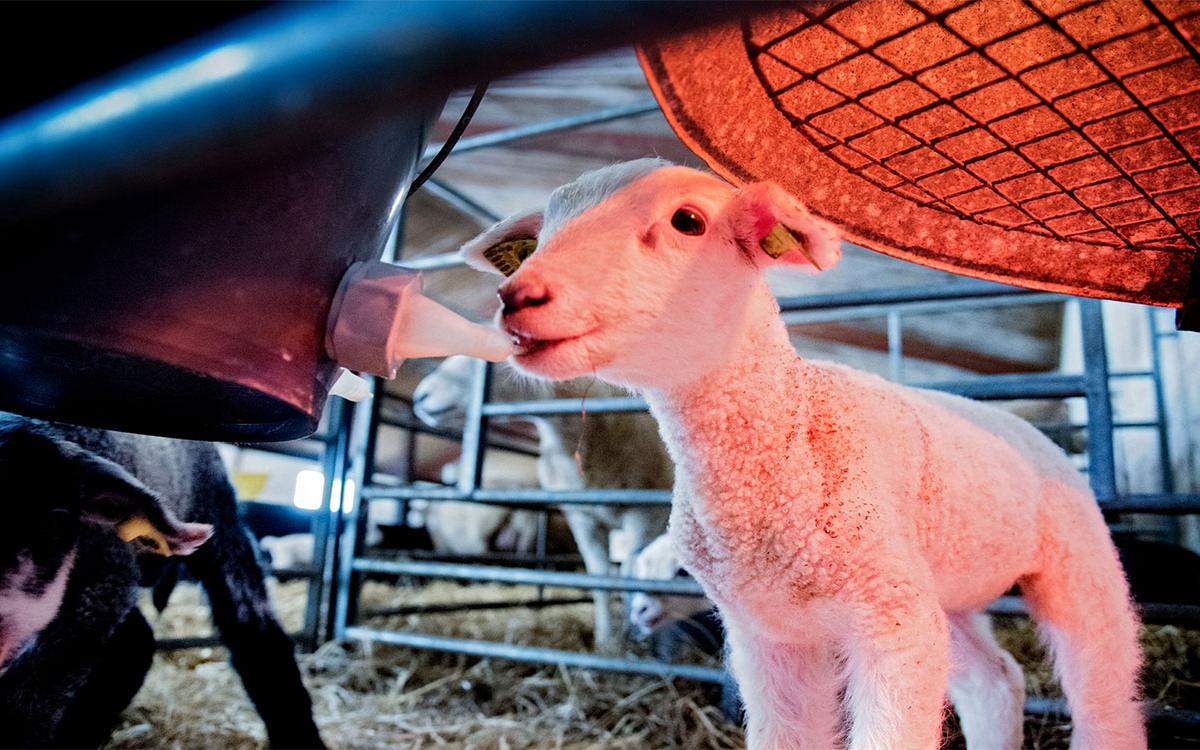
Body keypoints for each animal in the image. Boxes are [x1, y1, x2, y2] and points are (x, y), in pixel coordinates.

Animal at [0, 414, 324, 749]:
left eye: (54, 523)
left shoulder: (98, 594)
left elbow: (28, 701)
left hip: (218, 520)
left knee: (255, 628)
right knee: (137, 640)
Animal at [414, 354, 672, 645]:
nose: (420, 396)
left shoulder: (646, 512)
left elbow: (631, 574)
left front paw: (633, 636)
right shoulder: (583, 518)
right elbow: (600, 576)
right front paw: (607, 640)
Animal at [462, 159, 1145, 750]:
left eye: (688, 221)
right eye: (540, 237)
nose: (518, 296)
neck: (790, 436)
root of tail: (1020, 424)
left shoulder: (889, 624)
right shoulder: (770, 630)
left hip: (1076, 561)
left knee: (1104, 686)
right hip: (936, 590)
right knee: (995, 684)